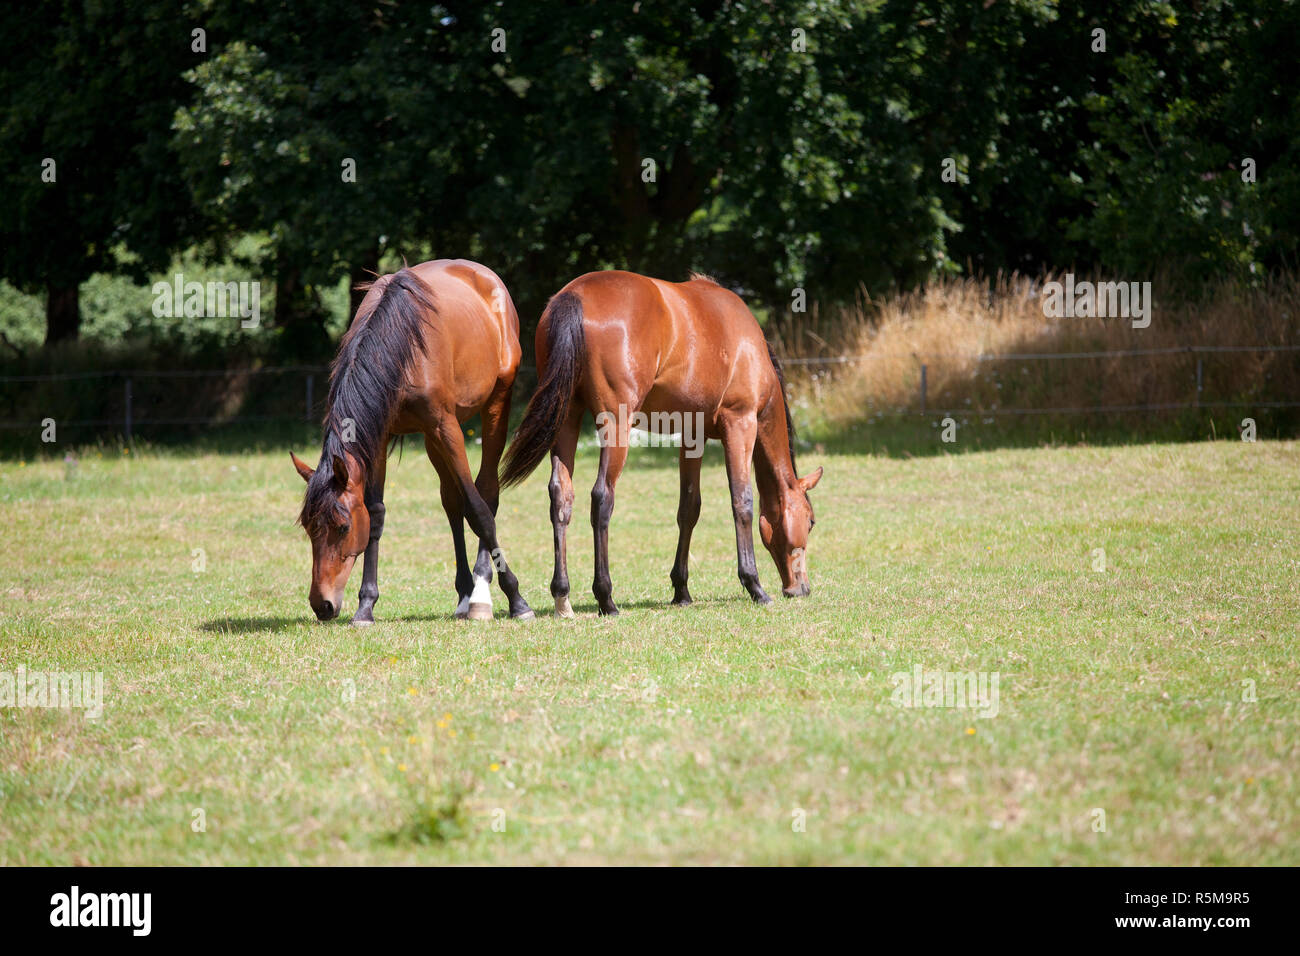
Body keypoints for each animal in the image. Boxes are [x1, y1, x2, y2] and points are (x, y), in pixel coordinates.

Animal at [291, 259, 534, 624]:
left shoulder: (447, 427)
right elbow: (376, 513)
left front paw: (517, 599)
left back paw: (481, 594)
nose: (323, 605)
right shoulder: (381, 436)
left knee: (486, 492)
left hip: (493, 406)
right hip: (432, 440)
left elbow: (478, 510)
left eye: (342, 527)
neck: (399, 345)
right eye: (308, 527)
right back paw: (465, 594)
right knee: (452, 502)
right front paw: (366, 606)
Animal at [499, 270, 822, 617]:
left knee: (562, 496)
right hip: (616, 425)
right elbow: (743, 502)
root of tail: (574, 295)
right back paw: (606, 597)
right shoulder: (741, 423)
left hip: (567, 418)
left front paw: (681, 589)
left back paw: (563, 596)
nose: (800, 588)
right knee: (602, 497)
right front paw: (754, 585)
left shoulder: (693, 436)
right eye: (811, 521)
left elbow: (689, 508)